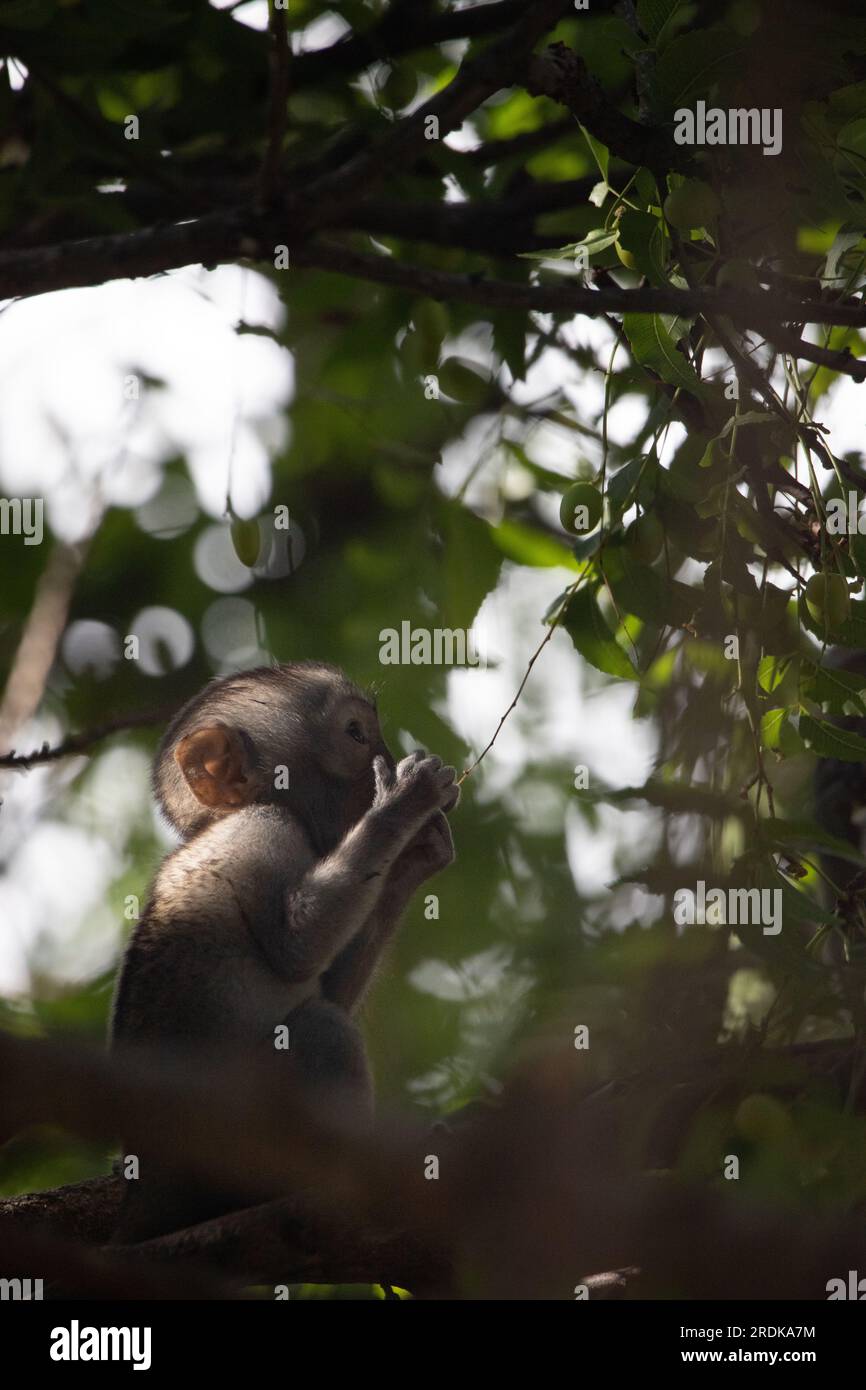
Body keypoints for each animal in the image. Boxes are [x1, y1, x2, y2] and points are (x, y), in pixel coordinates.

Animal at [108, 660, 459, 1242]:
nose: (391, 759)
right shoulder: (262, 832)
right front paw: (404, 804)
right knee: (322, 1030)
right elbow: (298, 947)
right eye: (356, 734)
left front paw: (418, 851)